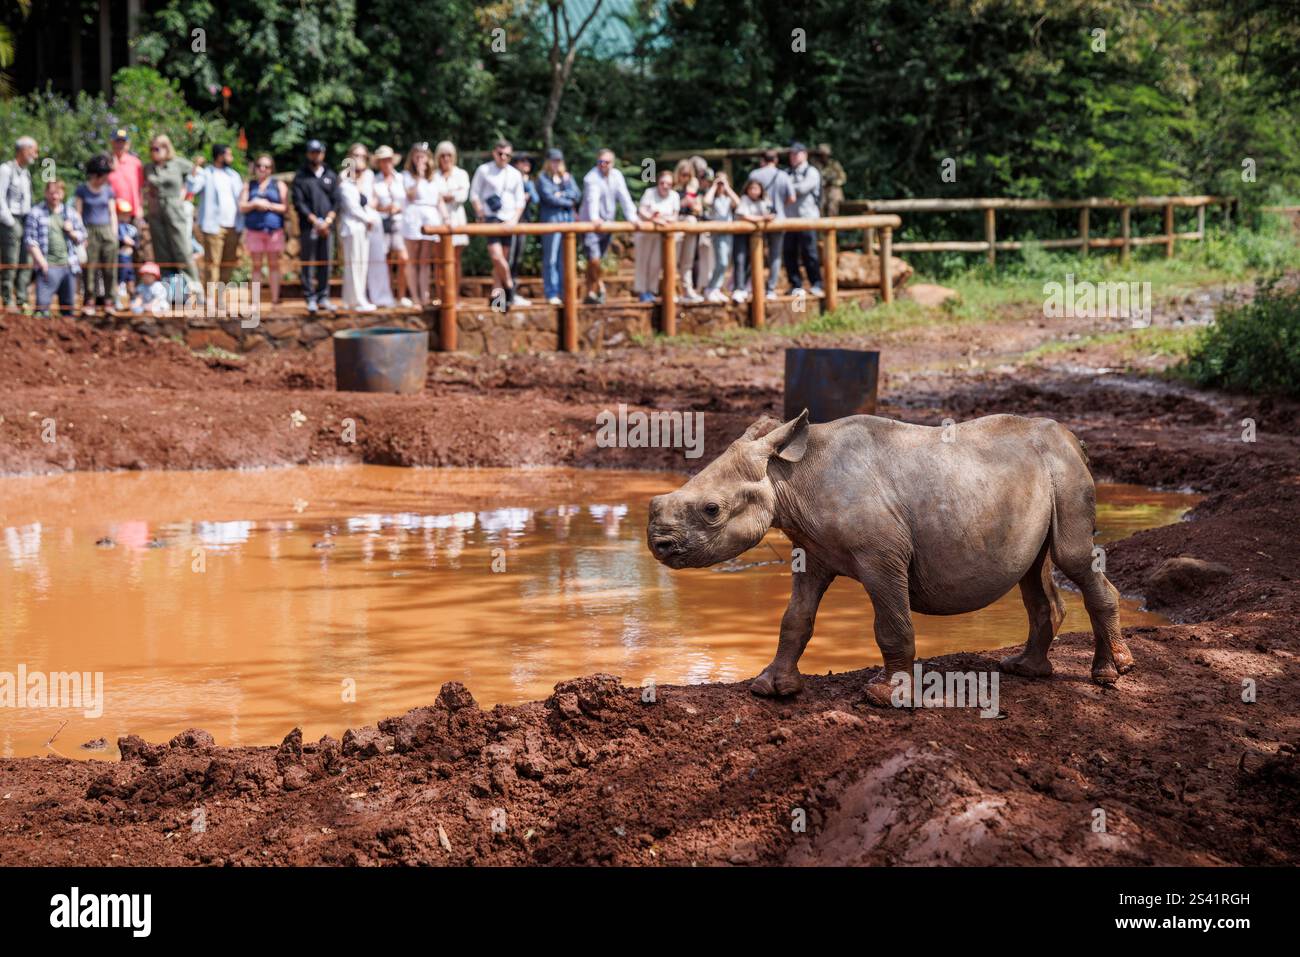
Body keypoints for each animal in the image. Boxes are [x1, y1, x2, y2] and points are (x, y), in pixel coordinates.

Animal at [646, 410, 1133, 706]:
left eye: (711, 510)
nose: (658, 546)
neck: (789, 475)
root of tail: (1072, 438)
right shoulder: (812, 552)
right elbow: (796, 619)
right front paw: (771, 688)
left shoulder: (882, 556)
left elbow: (891, 624)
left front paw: (885, 698)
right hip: (1034, 478)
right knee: (1034, 571)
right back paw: (1024, 671)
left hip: (1064, 472)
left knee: (1072, 558)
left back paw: (1110, 675)